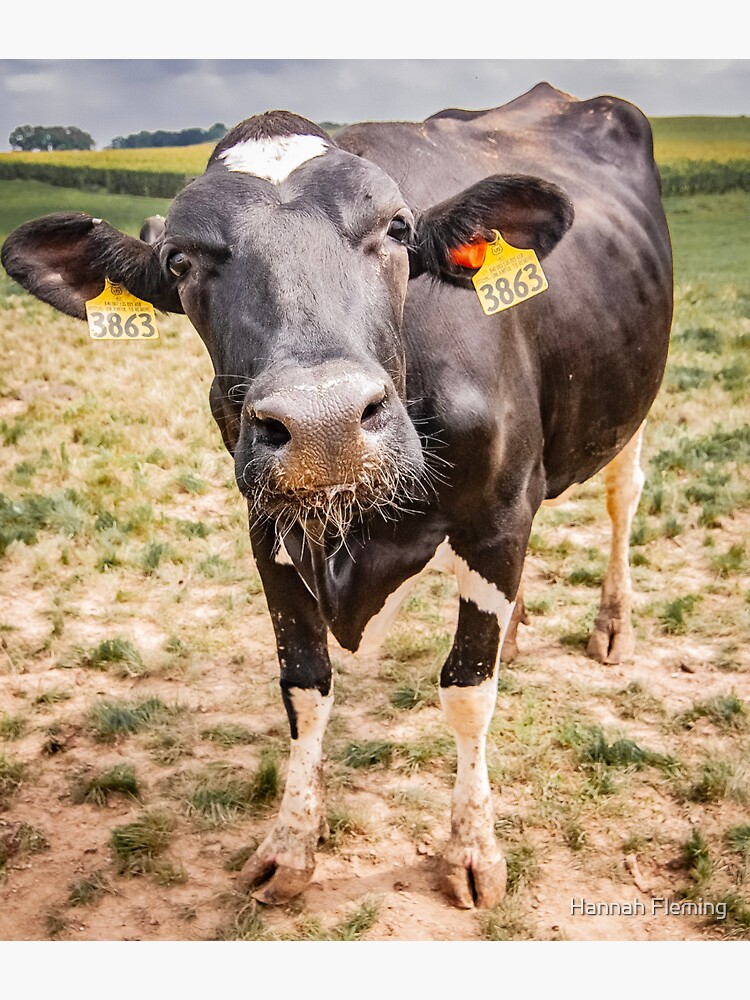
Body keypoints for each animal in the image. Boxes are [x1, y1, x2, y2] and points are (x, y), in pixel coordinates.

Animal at [0, 82, 673, 910]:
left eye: (398, 228)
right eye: (180, 260)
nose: (324, 422)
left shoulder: (496, 513)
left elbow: (467, 690)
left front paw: (471, 848)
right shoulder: (268, 529)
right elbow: (304, 688)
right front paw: (291, 844)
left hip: (629, 406)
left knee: (622, 497)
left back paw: (612, 626)